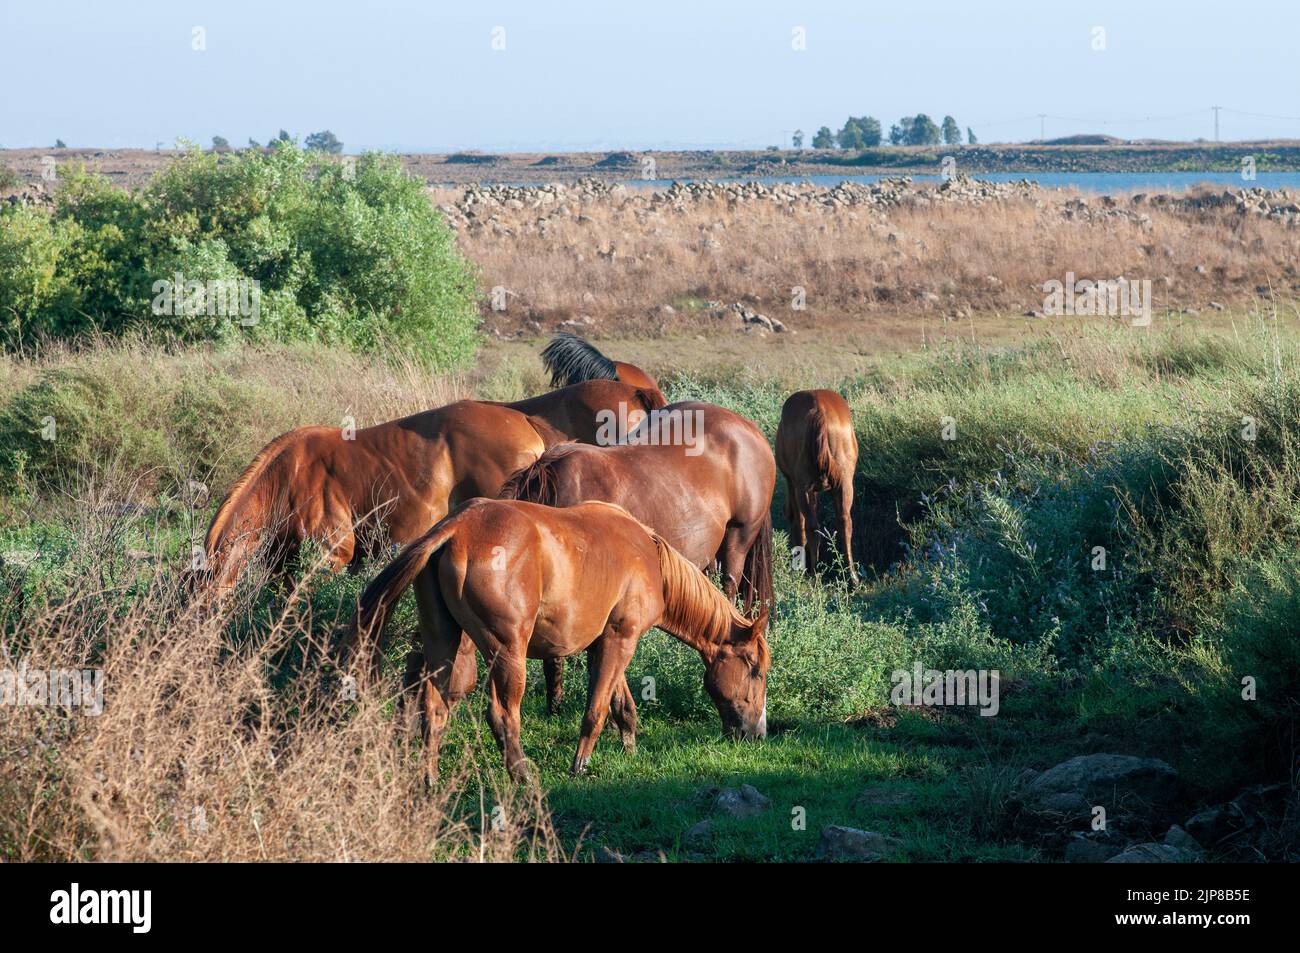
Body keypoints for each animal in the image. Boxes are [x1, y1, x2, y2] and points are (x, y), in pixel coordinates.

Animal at [347, 498, 770, 781]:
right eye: (755, 669)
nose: (756, 733)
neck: (650, 557)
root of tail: (457, 527)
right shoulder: (622, 639)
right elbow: (596, 709)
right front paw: (580, 765)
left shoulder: (606, 643)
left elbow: (620, 703)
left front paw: (629, 746)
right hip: (507, 654)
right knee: (502, 715)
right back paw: (521, 774)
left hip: (443, 644)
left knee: (433, 709)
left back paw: (430, 777)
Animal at [775, 389, 859, 585]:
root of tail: (819, 409)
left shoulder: (794, 484)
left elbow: (799, 522)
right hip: (845, 483)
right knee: (845, 522)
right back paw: (852, 577)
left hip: (802, 488)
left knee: (811, 527)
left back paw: (813, 574)